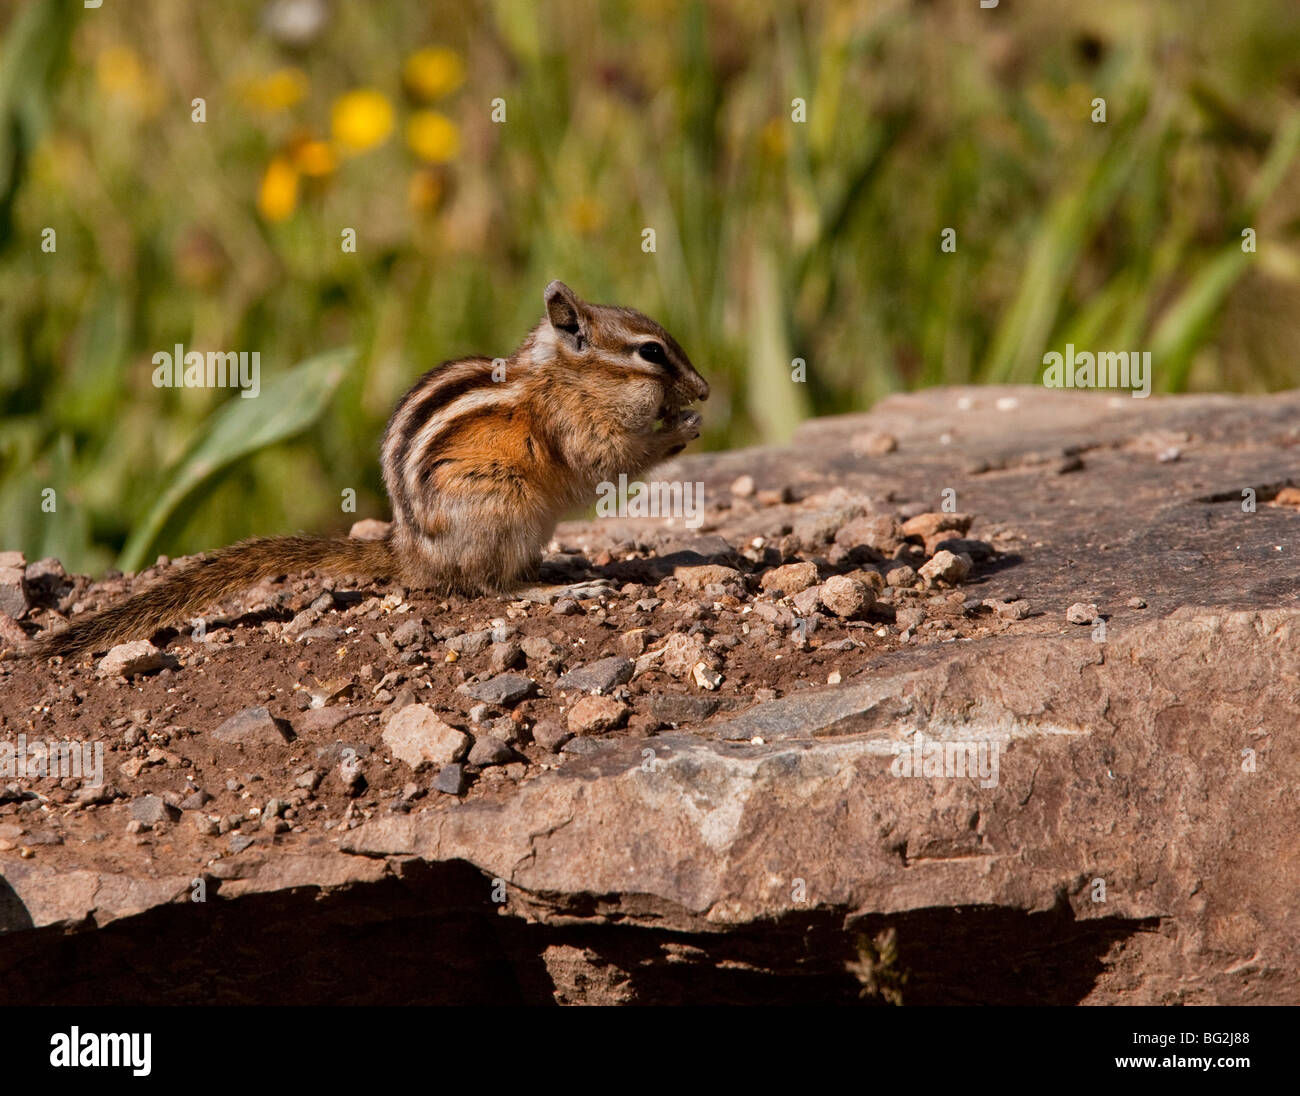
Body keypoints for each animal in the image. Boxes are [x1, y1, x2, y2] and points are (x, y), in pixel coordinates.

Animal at [26, 281, 709, 660]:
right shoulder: (575, 429)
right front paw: (679, 429)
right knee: (492, 588)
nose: (704, 389)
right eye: (652, 353)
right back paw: (562, 587)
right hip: (503, 510)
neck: (568, 375)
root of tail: (412, 555)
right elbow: (611, 460)